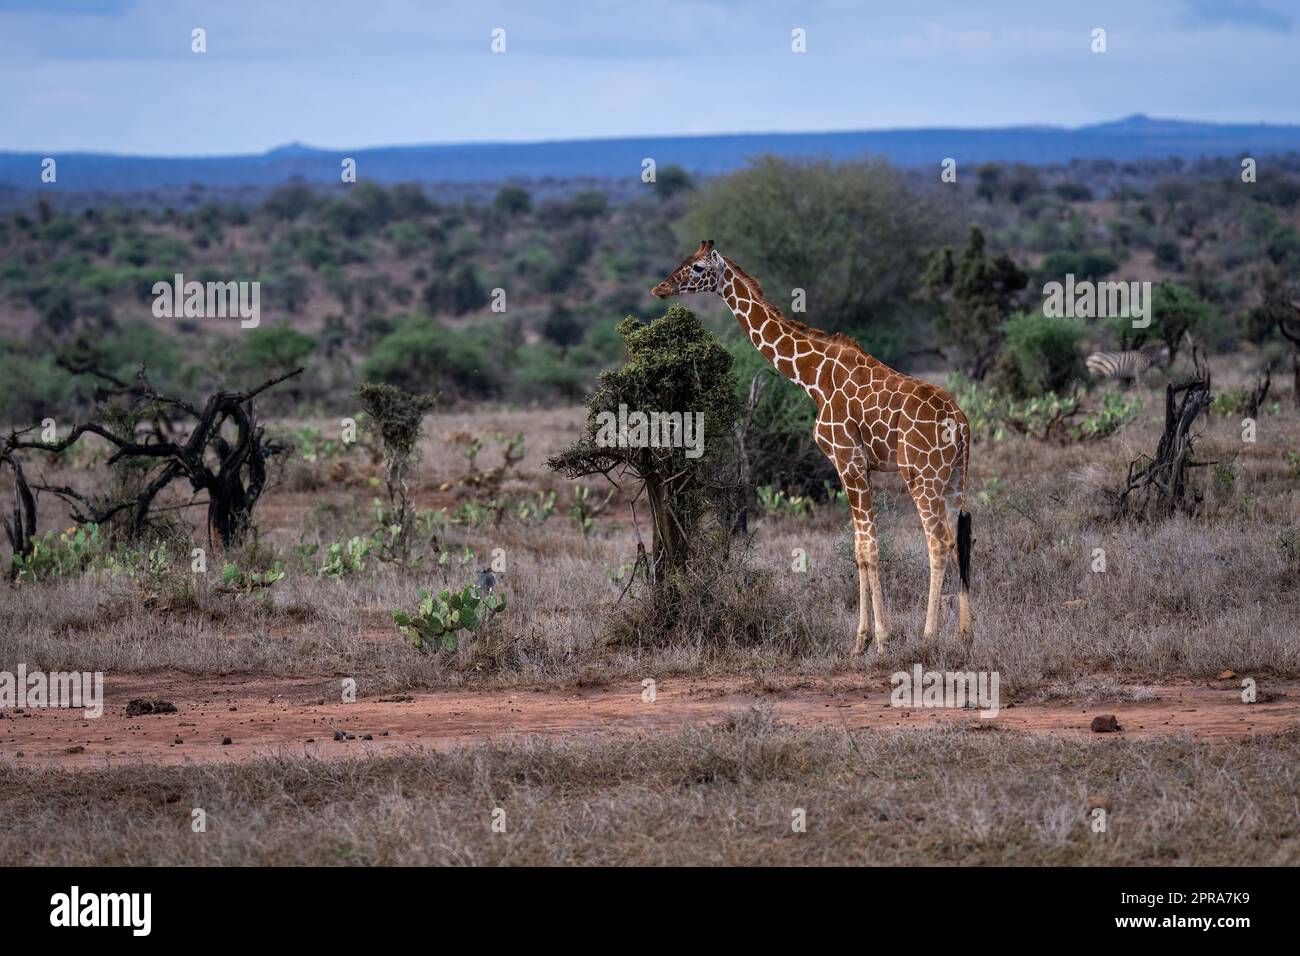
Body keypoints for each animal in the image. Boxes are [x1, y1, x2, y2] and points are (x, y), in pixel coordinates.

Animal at [652, 240, 973, 655]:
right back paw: (965, 633)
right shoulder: (855, 466)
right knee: (961, 539)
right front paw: (861, 641)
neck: (813, 378)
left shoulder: (848, 460)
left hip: (922, 475)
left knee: (938, 541)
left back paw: (929, 634)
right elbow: (859, 550)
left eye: (696, 268)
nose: (660, 288)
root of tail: (960, 422)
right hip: (954, 478)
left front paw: (880, 640)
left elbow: (868, 548)